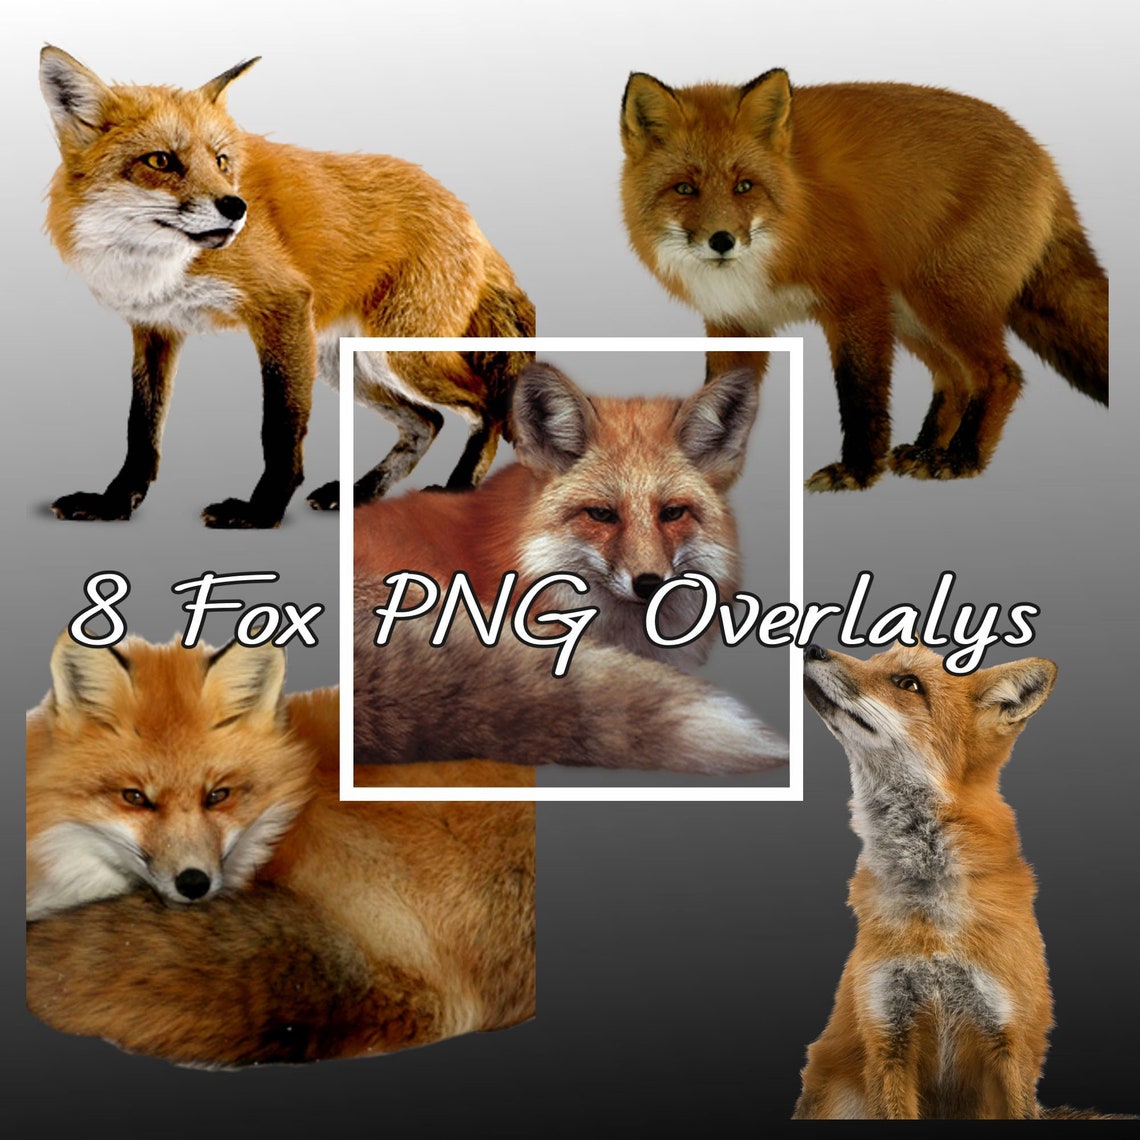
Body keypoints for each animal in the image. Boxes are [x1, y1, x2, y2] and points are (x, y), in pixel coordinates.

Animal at [39, 46, 534, 528]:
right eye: (160, 160)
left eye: (220, 161)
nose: (236, 207)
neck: (158, 263)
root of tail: (464, 211)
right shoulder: (156, 328)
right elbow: (141, 427)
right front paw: (115, 501)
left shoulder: (282, 306)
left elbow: (279, 426)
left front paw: (262, 511)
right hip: (345, 363)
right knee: (426, 422)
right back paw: (360, 493)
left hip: (404, 355)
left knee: (489, 403)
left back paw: (459, 490)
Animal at [620, 71, 1109, 491]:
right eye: (685, 189)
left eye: (744, 186)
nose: (722, 241)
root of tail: (1041, 153)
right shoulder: (736, 322)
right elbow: (717, 399)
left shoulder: (857, 299)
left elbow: (860, 393)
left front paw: (857, 470)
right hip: (914, 315)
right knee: (954, 379)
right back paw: (925, 450)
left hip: (941, 302)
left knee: (1000, 374)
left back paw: (961, 458)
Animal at [795, 643, 1133, 1119]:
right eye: (876, 659)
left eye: (908, 684)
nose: (812, 647)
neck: (933, 917)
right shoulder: (887, 1037)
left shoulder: (1011, 1041)